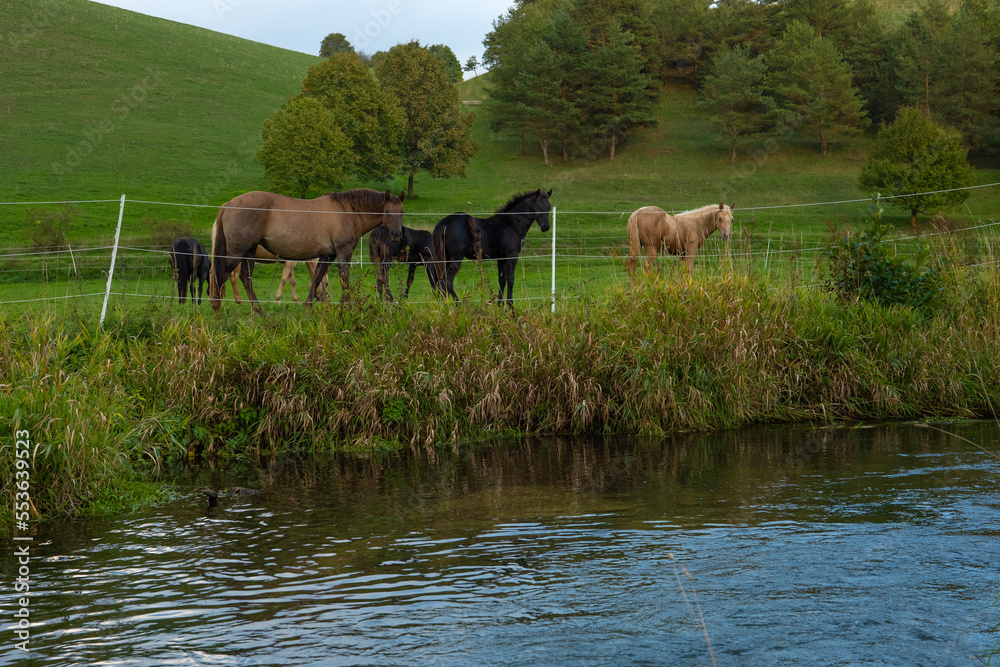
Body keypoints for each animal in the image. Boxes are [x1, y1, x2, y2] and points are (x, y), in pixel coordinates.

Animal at [209, 189, 404, 313]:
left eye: (401, 212)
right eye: (387, 211)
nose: (396, 234)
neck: (346, 211)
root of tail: (229, 204)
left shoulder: (327, 255)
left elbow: (316, 279)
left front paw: (308, 307)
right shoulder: (343, 253)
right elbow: (344, 281)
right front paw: (348, 308)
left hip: (249, 251)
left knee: (245, 278)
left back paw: (259, 311)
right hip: (237, 253)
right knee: (221, 275)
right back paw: (217, 308)